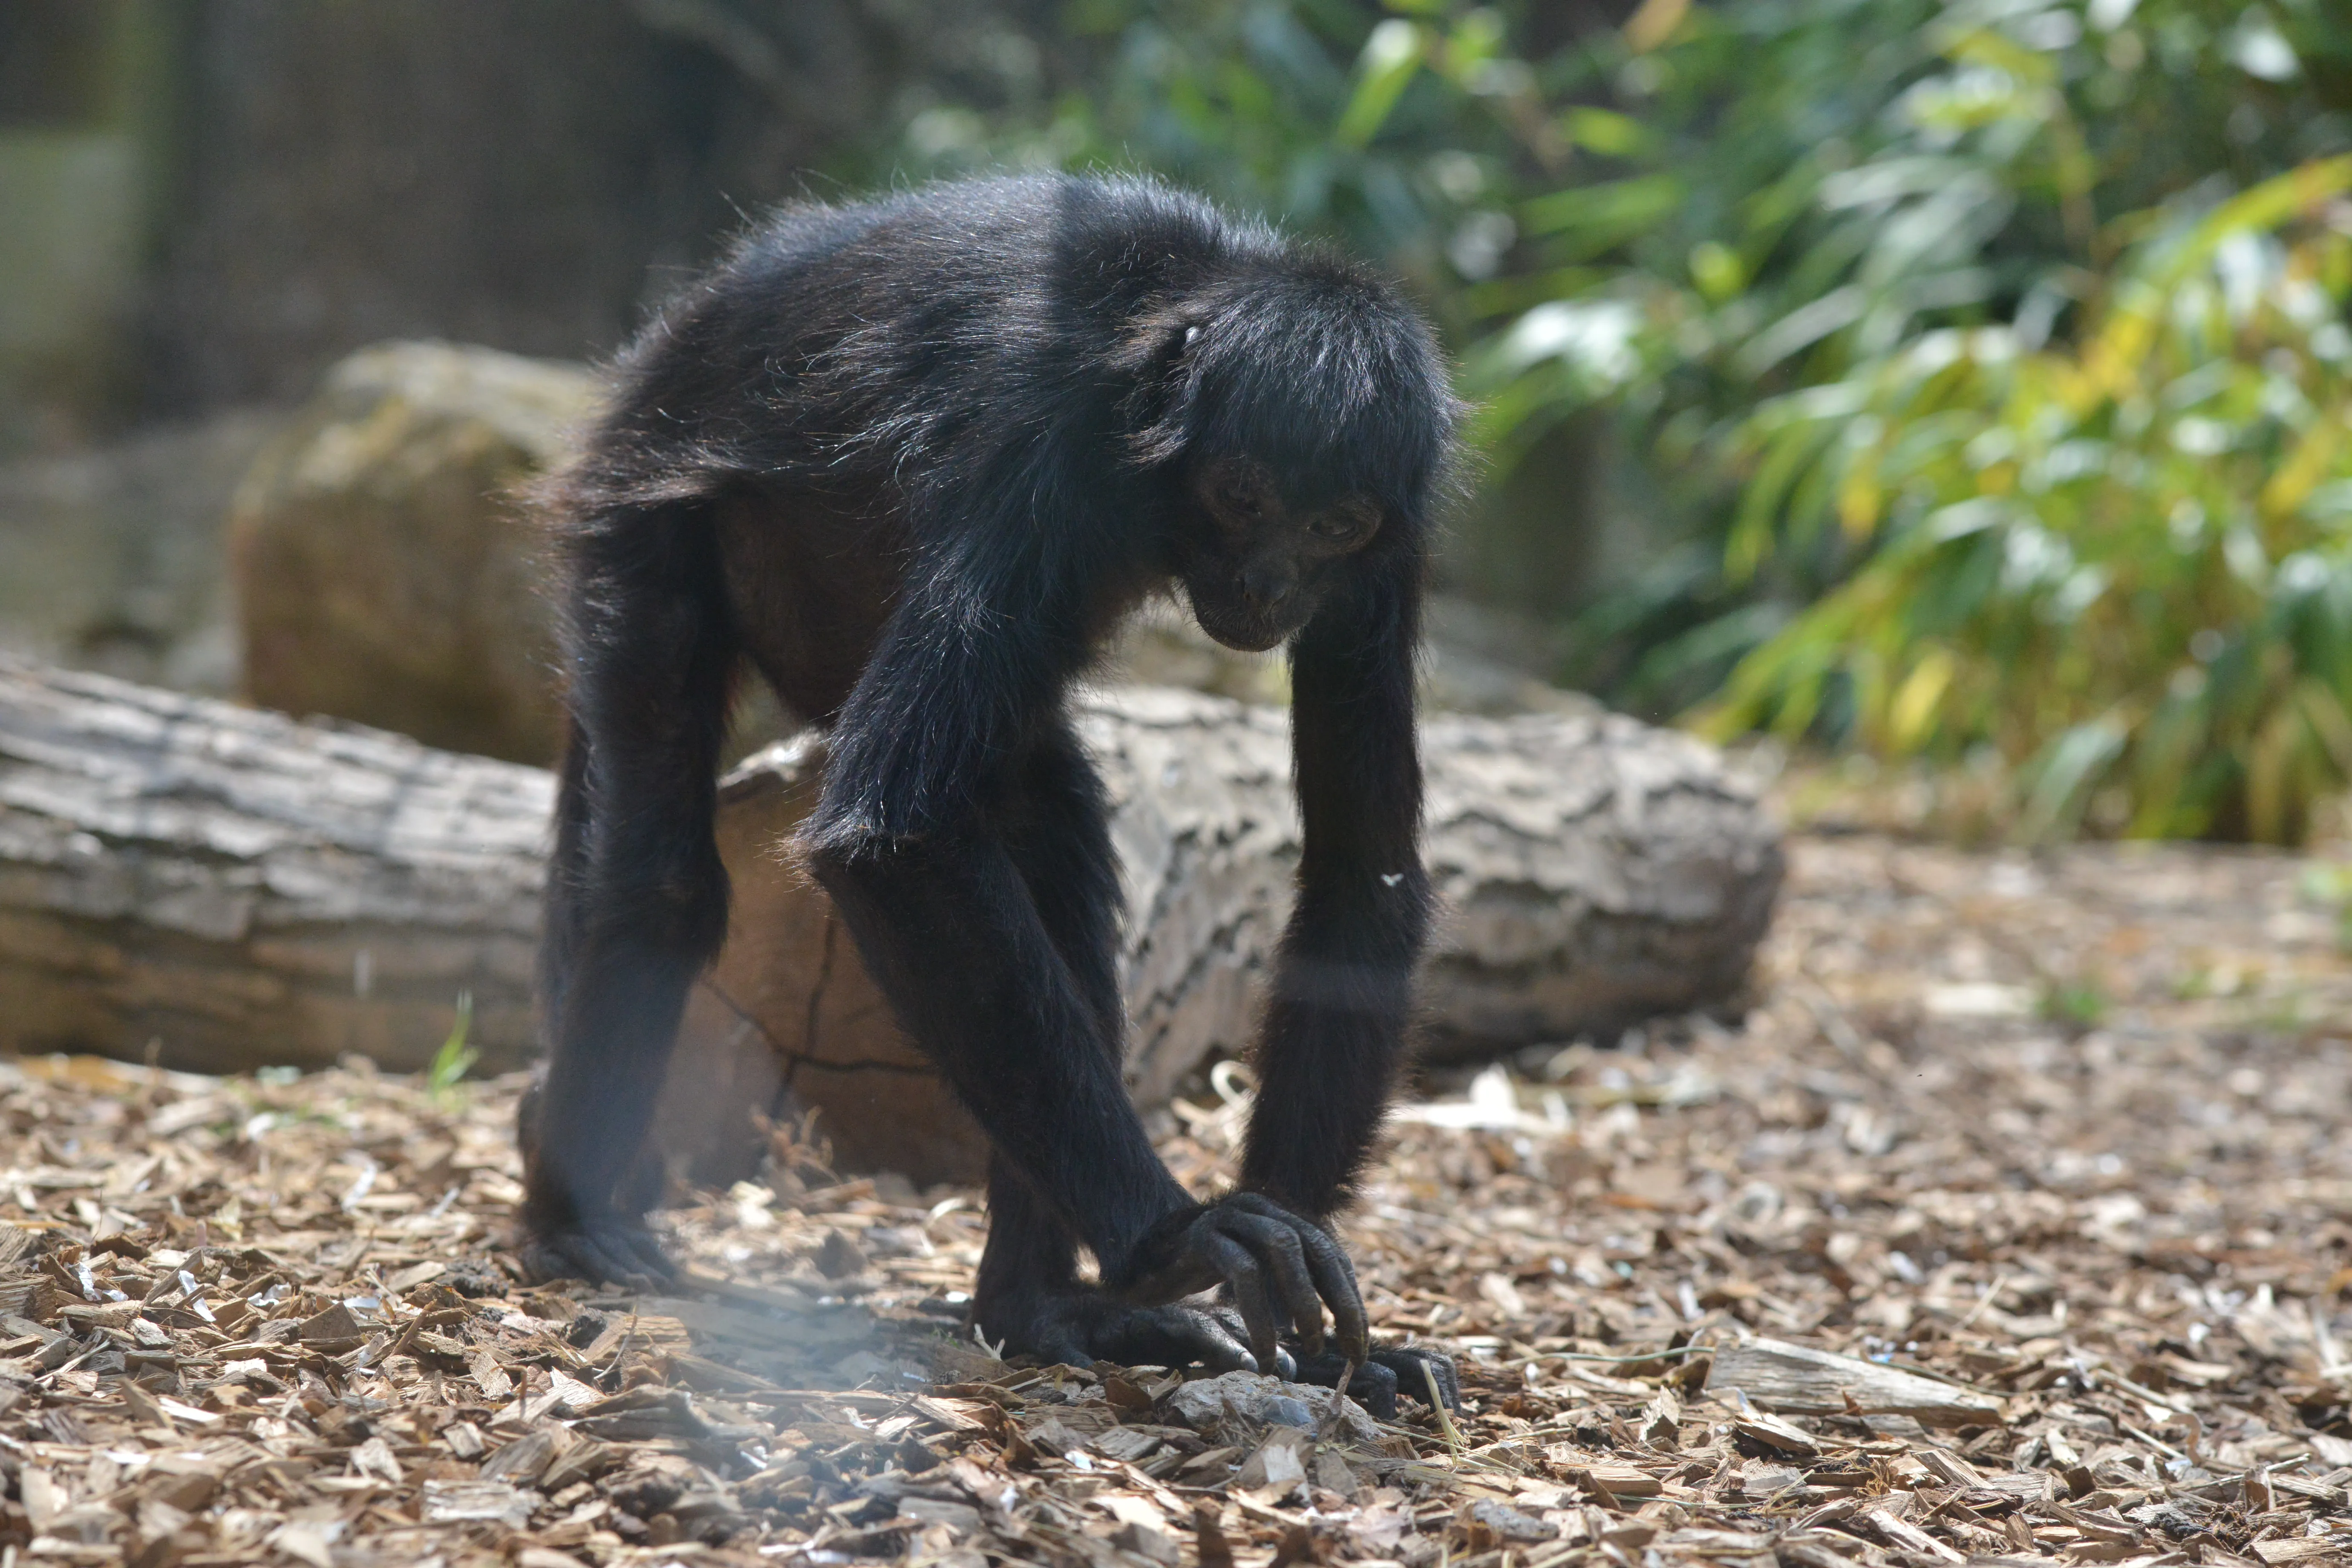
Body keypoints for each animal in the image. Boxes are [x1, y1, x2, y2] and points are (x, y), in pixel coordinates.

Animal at [519, 173, 1461, 1415]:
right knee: (667, 884)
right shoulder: (1047, 454)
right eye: (1242, 494)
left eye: (1334, 525)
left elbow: (1362, 871)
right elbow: (890, 838)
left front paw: (1297, 1300)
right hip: (650, 528)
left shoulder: (1390, 548)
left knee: (1048, 827)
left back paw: (1039, 1311)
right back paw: (571, 1215)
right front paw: (1185, 1238)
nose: (1271, 586)